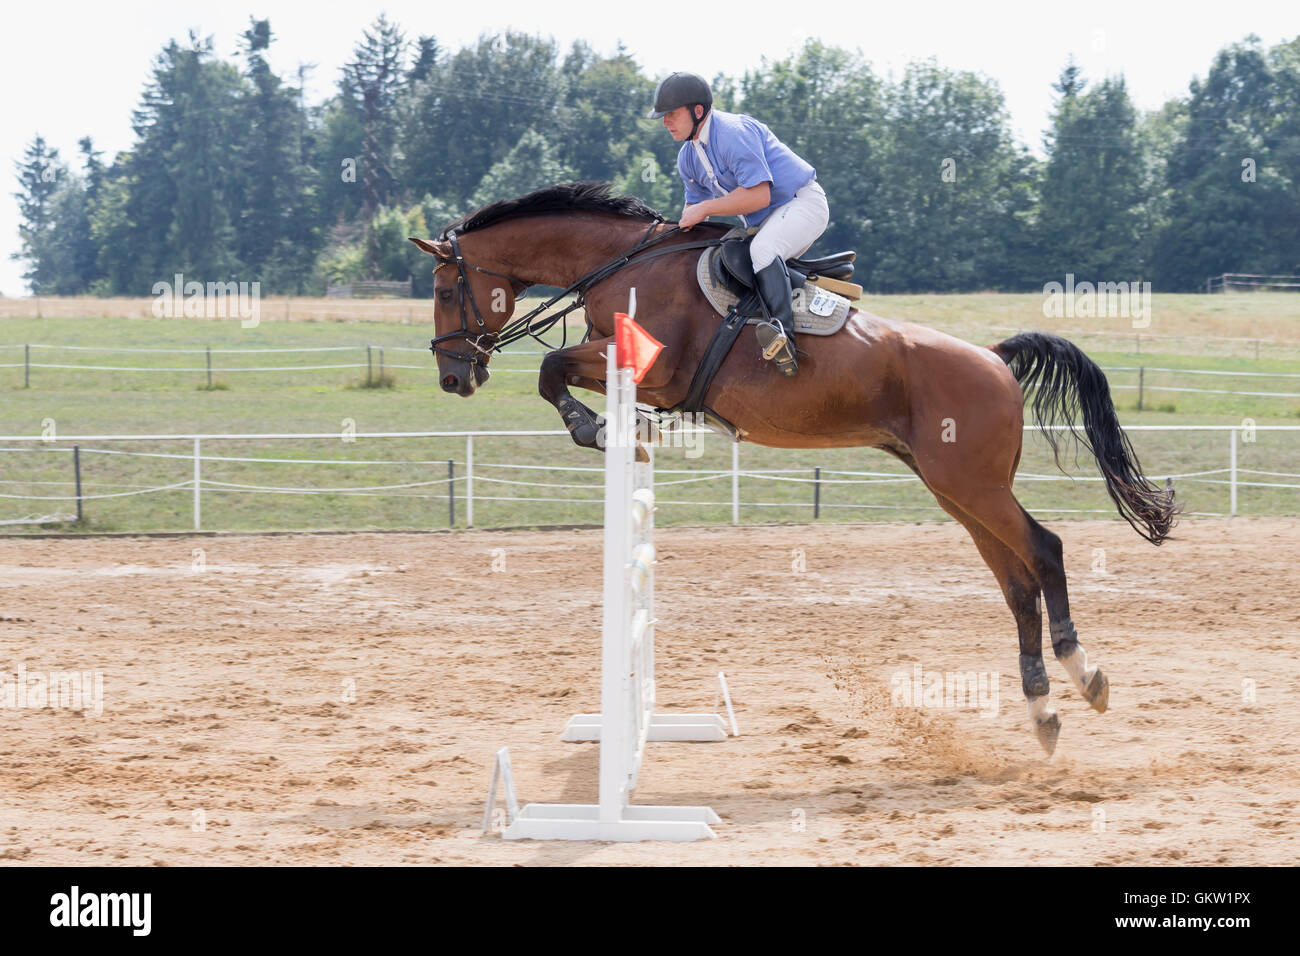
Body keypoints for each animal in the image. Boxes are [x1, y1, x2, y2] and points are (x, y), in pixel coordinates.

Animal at [409, 181, 1179, 755]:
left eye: (445, 291)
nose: (452, 378)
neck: (620, 264)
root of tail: (992, 357)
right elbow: (558, 370)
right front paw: (611, 427)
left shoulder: (650, 364)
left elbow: (551, 369)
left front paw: (591, 427)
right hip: (955, 489)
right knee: (1015, 584)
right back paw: (1042, 711)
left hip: (973, 485)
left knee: (1044, 550)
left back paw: (1085, 674)